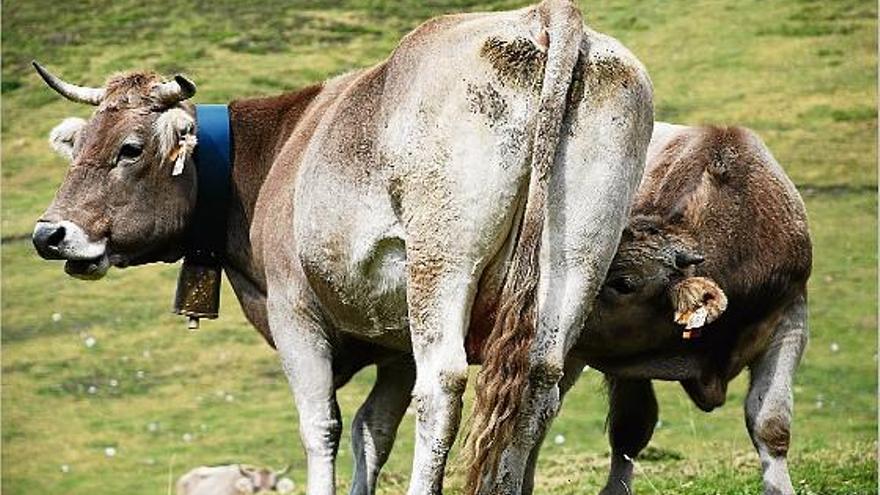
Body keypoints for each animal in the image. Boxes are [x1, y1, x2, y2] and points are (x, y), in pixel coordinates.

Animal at [28, 1, 654, 494]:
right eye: (78, 145)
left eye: (130, 149)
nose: (48, 234)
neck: (276, 152)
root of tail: (543, 16)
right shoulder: (395, 343)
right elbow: (372, 430)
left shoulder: (293, 311)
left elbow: (321, 425)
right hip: (574, 263)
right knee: (538, 386)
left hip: (441, 262)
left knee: (443, 386)